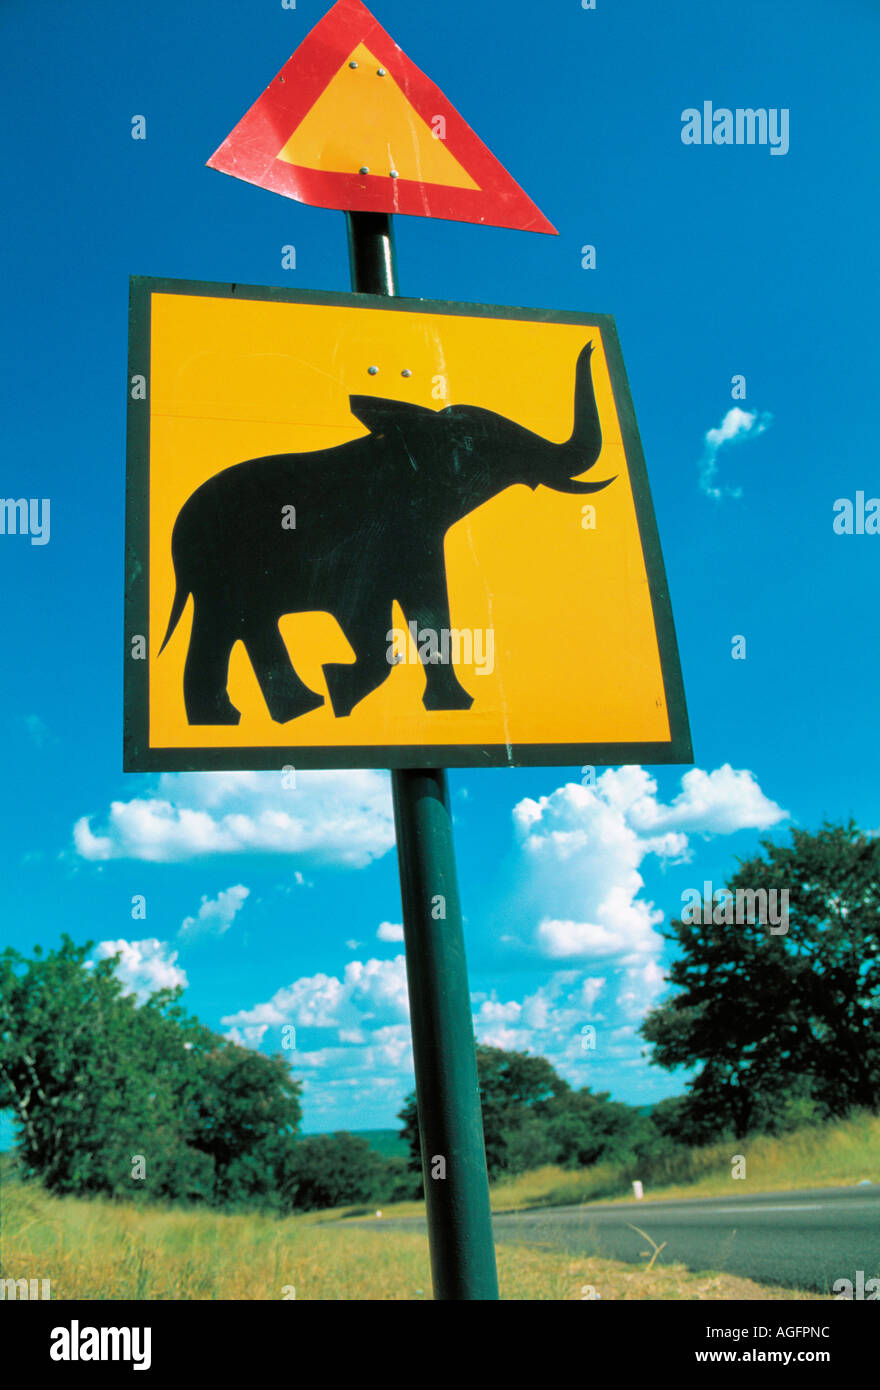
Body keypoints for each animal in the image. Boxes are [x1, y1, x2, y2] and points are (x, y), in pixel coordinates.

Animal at [158, 341, 614, 725]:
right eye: (474, 444)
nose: (590, 347)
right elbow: (376, 615)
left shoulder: (412, 536)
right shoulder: (367, 541)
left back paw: (257, 714)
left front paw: (446, 706)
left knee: (234, 627)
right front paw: (341, 690)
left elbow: (421, 608)